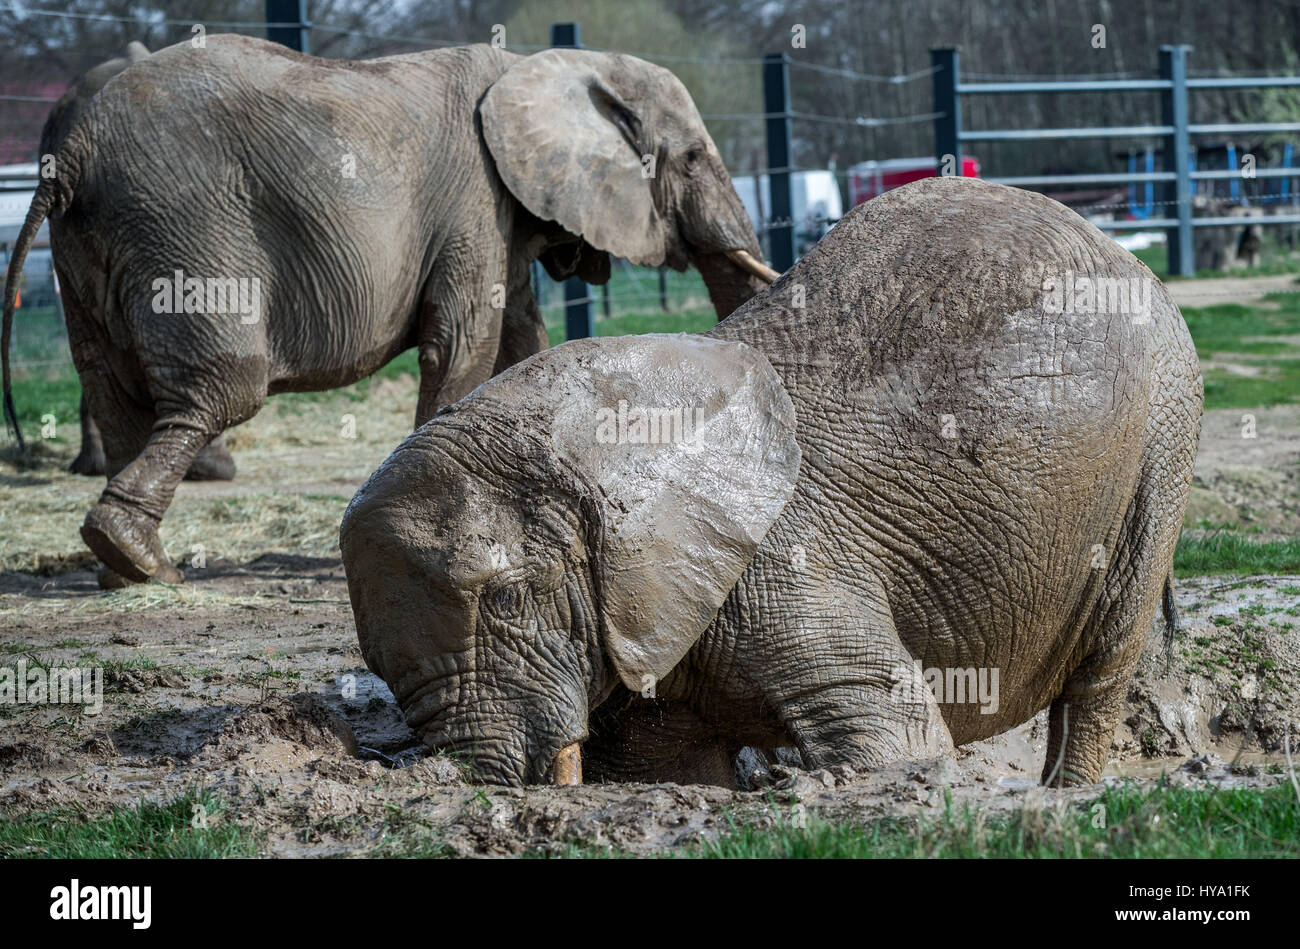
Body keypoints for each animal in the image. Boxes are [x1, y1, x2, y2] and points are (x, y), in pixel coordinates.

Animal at [339, 177, 1204, 789]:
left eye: (513, 598)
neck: (594, 426)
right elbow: (665, 771)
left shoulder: (789, 557)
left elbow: (897, 740)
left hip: (1162, 434)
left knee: (1105, 660)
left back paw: (1069, 794)